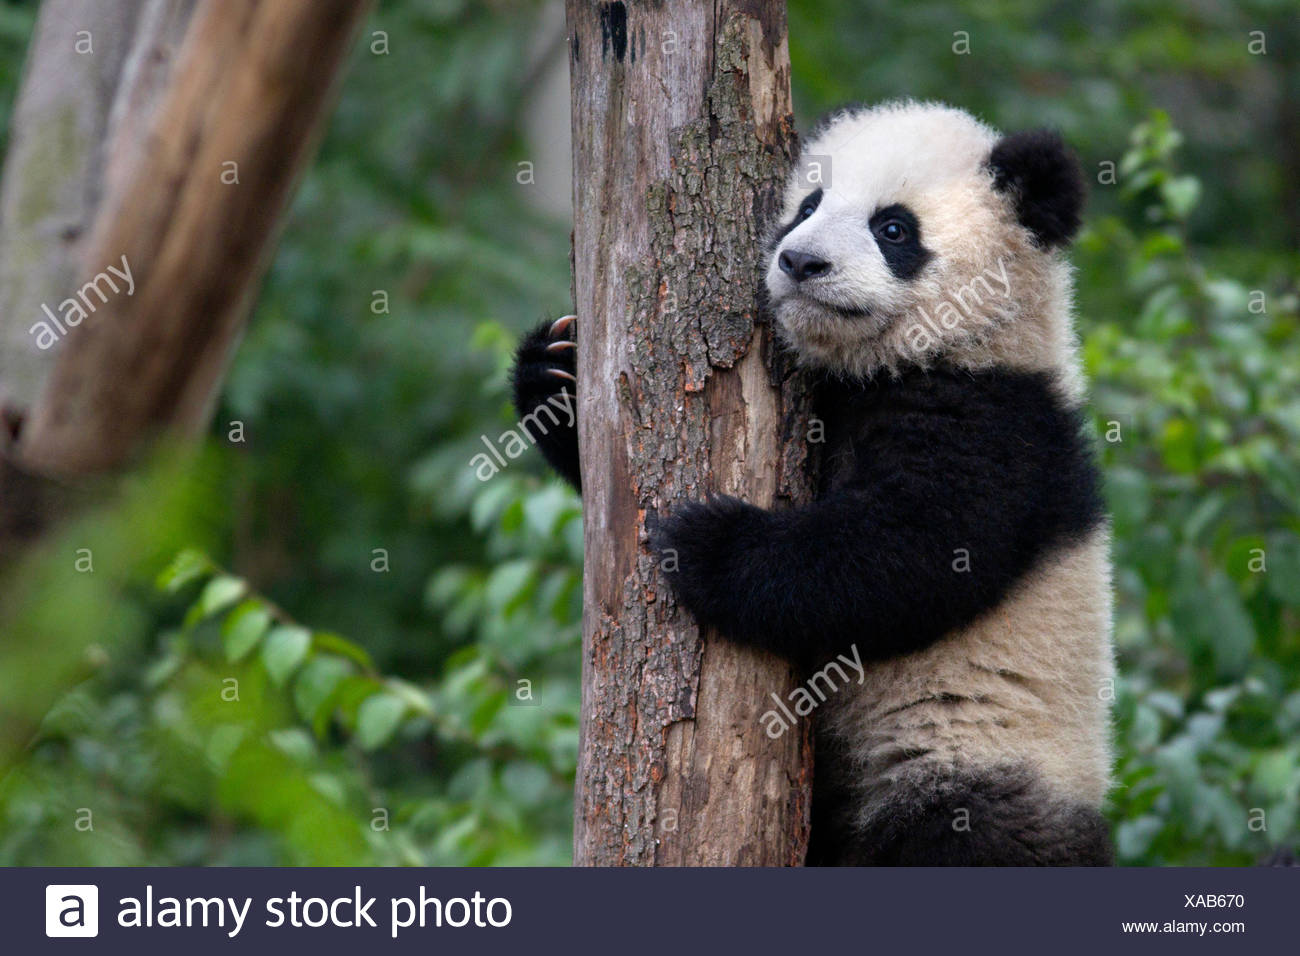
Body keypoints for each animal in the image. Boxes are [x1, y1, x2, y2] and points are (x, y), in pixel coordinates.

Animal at [513, 100, 1113, 866]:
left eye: (894, 228)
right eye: (808, 205)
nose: (800, 262)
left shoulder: (997, 424)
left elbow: (907, 552)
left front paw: (705, 542)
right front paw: (552, 372)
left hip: (973, 762)